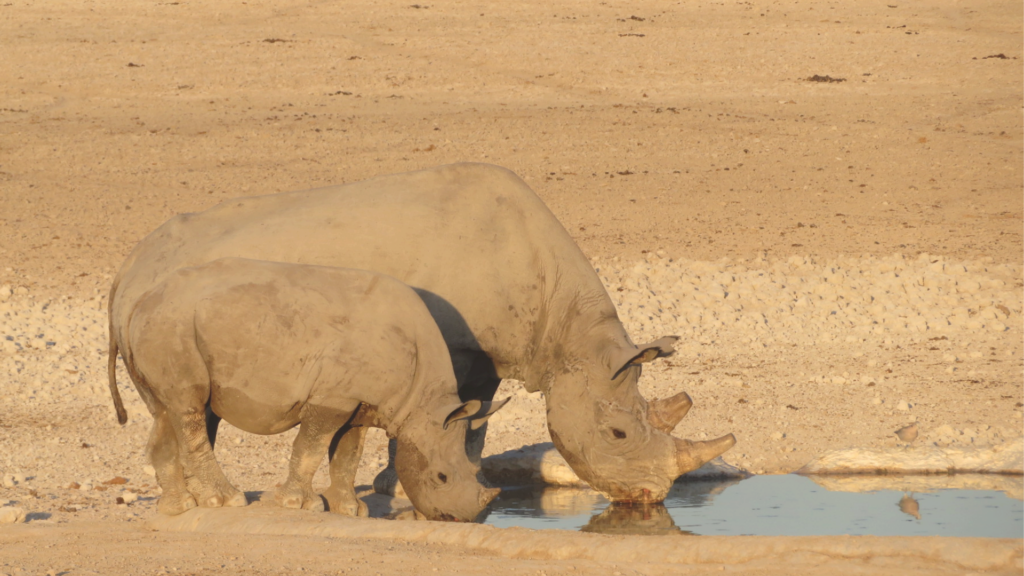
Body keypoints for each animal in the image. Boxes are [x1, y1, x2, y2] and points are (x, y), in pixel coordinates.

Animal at [115, 257, 504, 520]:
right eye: (441, 477)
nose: (462, 517)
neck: (424, 404)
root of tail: (139, 302)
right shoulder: (333, 398)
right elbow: (312, 448)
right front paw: (300, 505)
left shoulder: (359, 402)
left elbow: (348, 453)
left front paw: (349, 510)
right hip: (171, 326)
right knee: (190, 408)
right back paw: (226, 501)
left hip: (164, 327)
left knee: (167, 409)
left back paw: (179, 507)